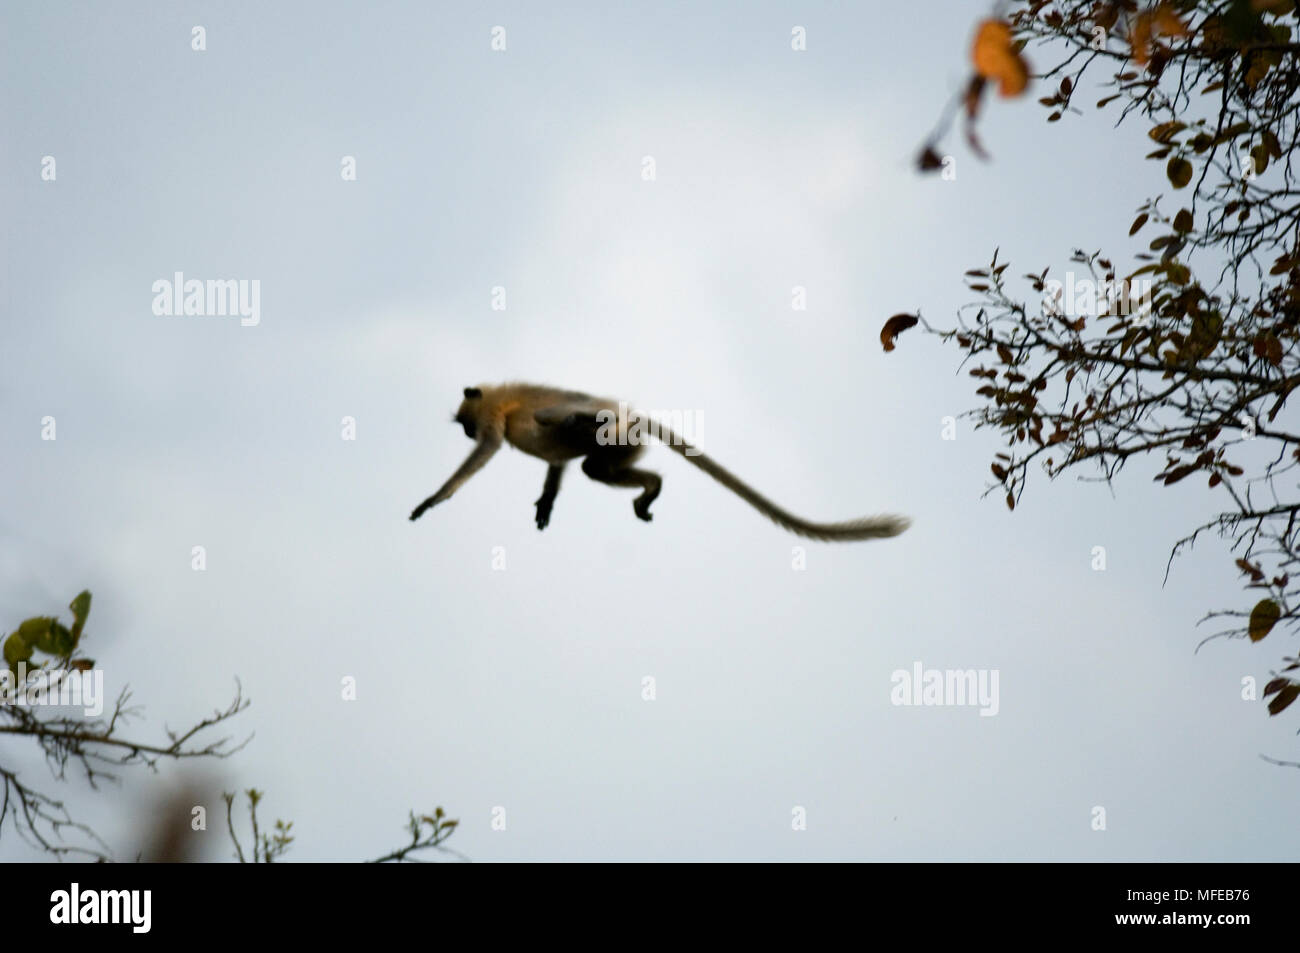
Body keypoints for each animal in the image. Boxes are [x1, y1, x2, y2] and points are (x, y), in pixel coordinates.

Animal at [409, 383, 911, 542]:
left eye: (465, 426)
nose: (464, 430)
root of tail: (636, 421)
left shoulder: (494, 416)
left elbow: (488, 451)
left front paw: (433, 499)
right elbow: (557, 467)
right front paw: (547, 502)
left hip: (613, 433)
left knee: (569, 423)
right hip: (622, 445)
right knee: (592, 466)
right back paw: (651, 488)